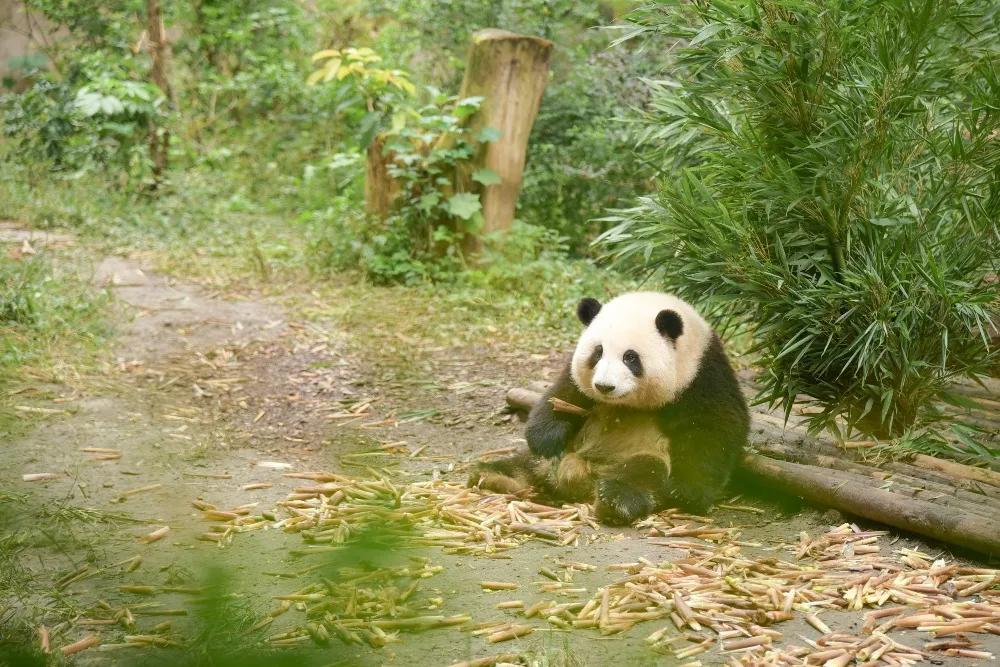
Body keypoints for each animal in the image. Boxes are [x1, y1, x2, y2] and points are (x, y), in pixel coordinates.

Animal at [470, 291, 749, 525]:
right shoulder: (576, 378)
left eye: (630, 357)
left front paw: (687, 491)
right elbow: (561, 397)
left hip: (640, 455)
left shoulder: (702, 374)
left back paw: (614, 502)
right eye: (598, 352)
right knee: (521, 464)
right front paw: (546, 439)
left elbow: (715, 426)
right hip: (556, 455)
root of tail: (580, 477)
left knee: (642, 473)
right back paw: (490, 475)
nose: (604, 386)